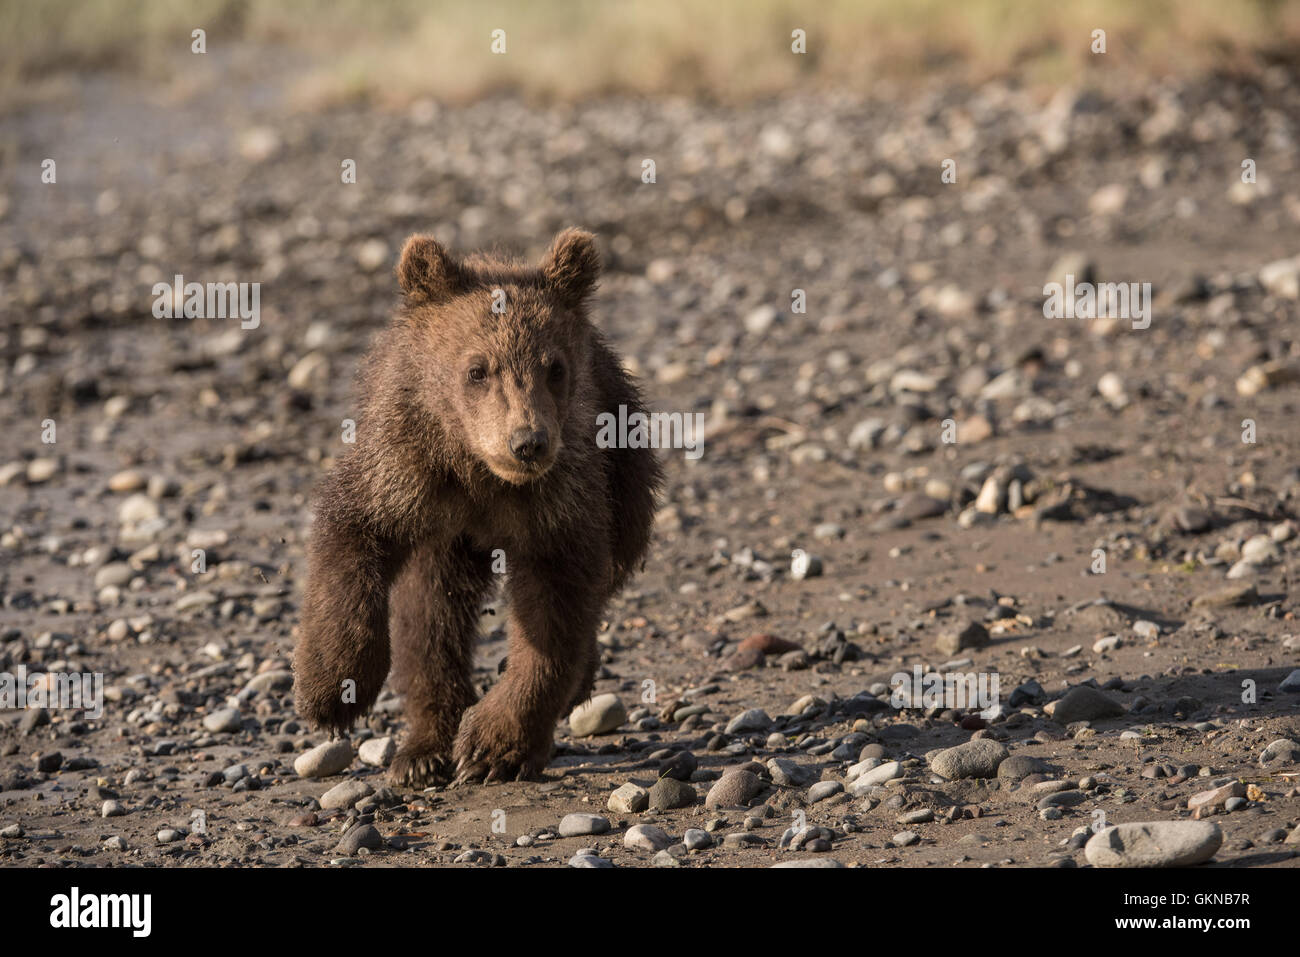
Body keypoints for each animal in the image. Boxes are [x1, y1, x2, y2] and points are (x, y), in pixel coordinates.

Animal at [292, 227, 663, 786]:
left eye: (554, 367)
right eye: (477, 369)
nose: (528, 442)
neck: (480, 476)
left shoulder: (563, 499)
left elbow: (556, 613)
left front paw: (493, 747)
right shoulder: (404, 469)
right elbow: (353, 535)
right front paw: (332, 690)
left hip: (626, 472)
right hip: (447, 543)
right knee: (431, 615)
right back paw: (423, 751)